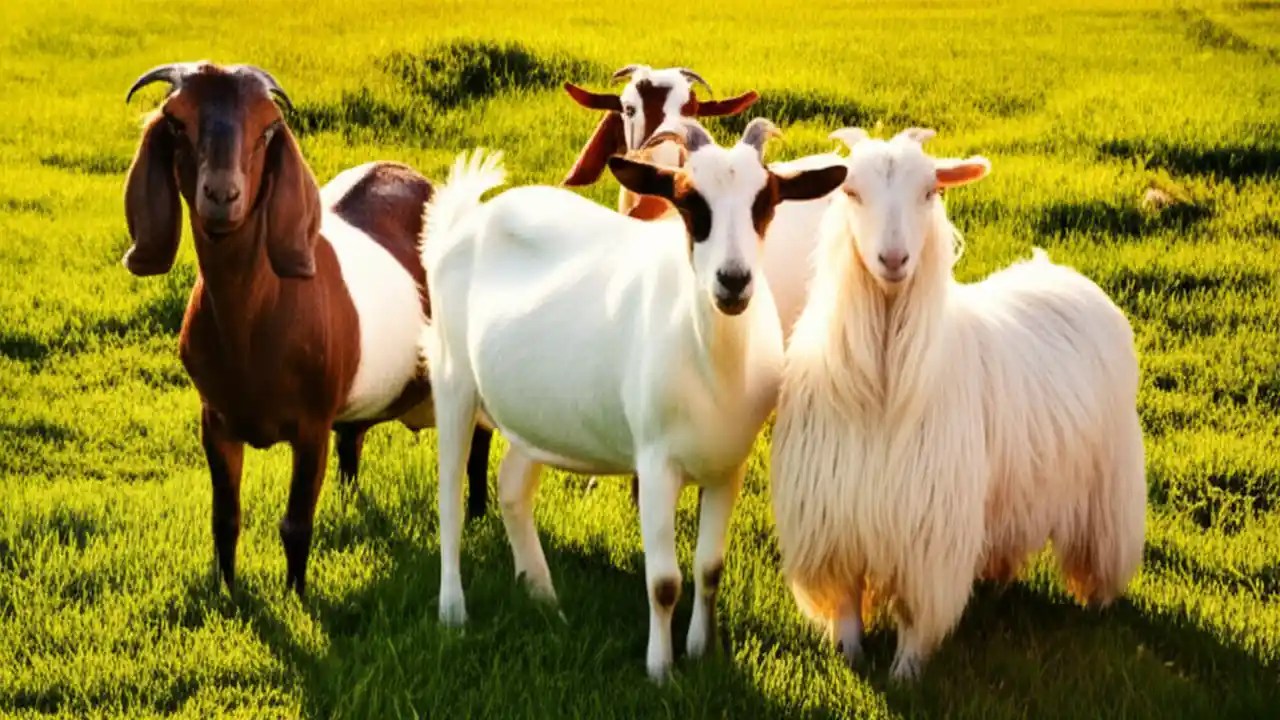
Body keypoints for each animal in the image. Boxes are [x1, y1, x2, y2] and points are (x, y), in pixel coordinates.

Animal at [121, 61, 491, 597]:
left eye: (268, 128)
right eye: (176, 122)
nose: (222, 195)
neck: (251, 322)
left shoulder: (311, 425)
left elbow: (295, 524)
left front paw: (296, 595)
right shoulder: (215, 420)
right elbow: (225, 519)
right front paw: (229, 592)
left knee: (478, 441)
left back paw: (479, 511)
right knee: (353, 439)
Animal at [421, 118, 847, 681]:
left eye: (766, 201)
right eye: (689, 202)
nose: (733, 280)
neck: (713, 364)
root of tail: (468, 219)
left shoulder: (727, 466)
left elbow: (710, 568)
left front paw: (701, 649)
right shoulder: (656, 461)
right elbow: (664, 582)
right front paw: (661, 669)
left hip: (535, 413)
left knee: (511, 487)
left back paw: (543, 595)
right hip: (453, 380)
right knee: (448, 495)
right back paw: (453, 610)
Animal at [769, 127, 1147, 681]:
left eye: (930, 192)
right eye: (851, 191)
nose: (894, 260)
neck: (885, 384)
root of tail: (1055, 269)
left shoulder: (928, 536)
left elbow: (913, 615)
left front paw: (905, 674)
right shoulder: (835, 519)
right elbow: (847, 606)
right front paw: (850, 657)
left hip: (1108, 487)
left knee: (1104, 550)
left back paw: (1097, 606)